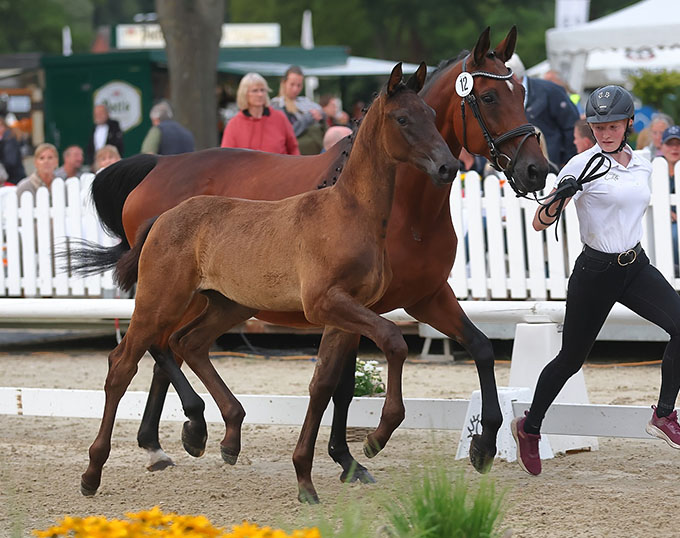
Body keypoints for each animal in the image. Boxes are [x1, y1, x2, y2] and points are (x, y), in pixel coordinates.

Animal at [75, 26, 548, 491]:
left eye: (523, 92)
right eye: (488, 97)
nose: (536, 170)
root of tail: (158, 177)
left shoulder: (424, 296)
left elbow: (478, 347)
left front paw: (483, 444)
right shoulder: (348, 306)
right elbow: (352, 374)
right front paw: (357, 451)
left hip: (224, 303)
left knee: (179, 344)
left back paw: (195, 434)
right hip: (165, 297)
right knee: (133, 358)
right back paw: (121, 458)